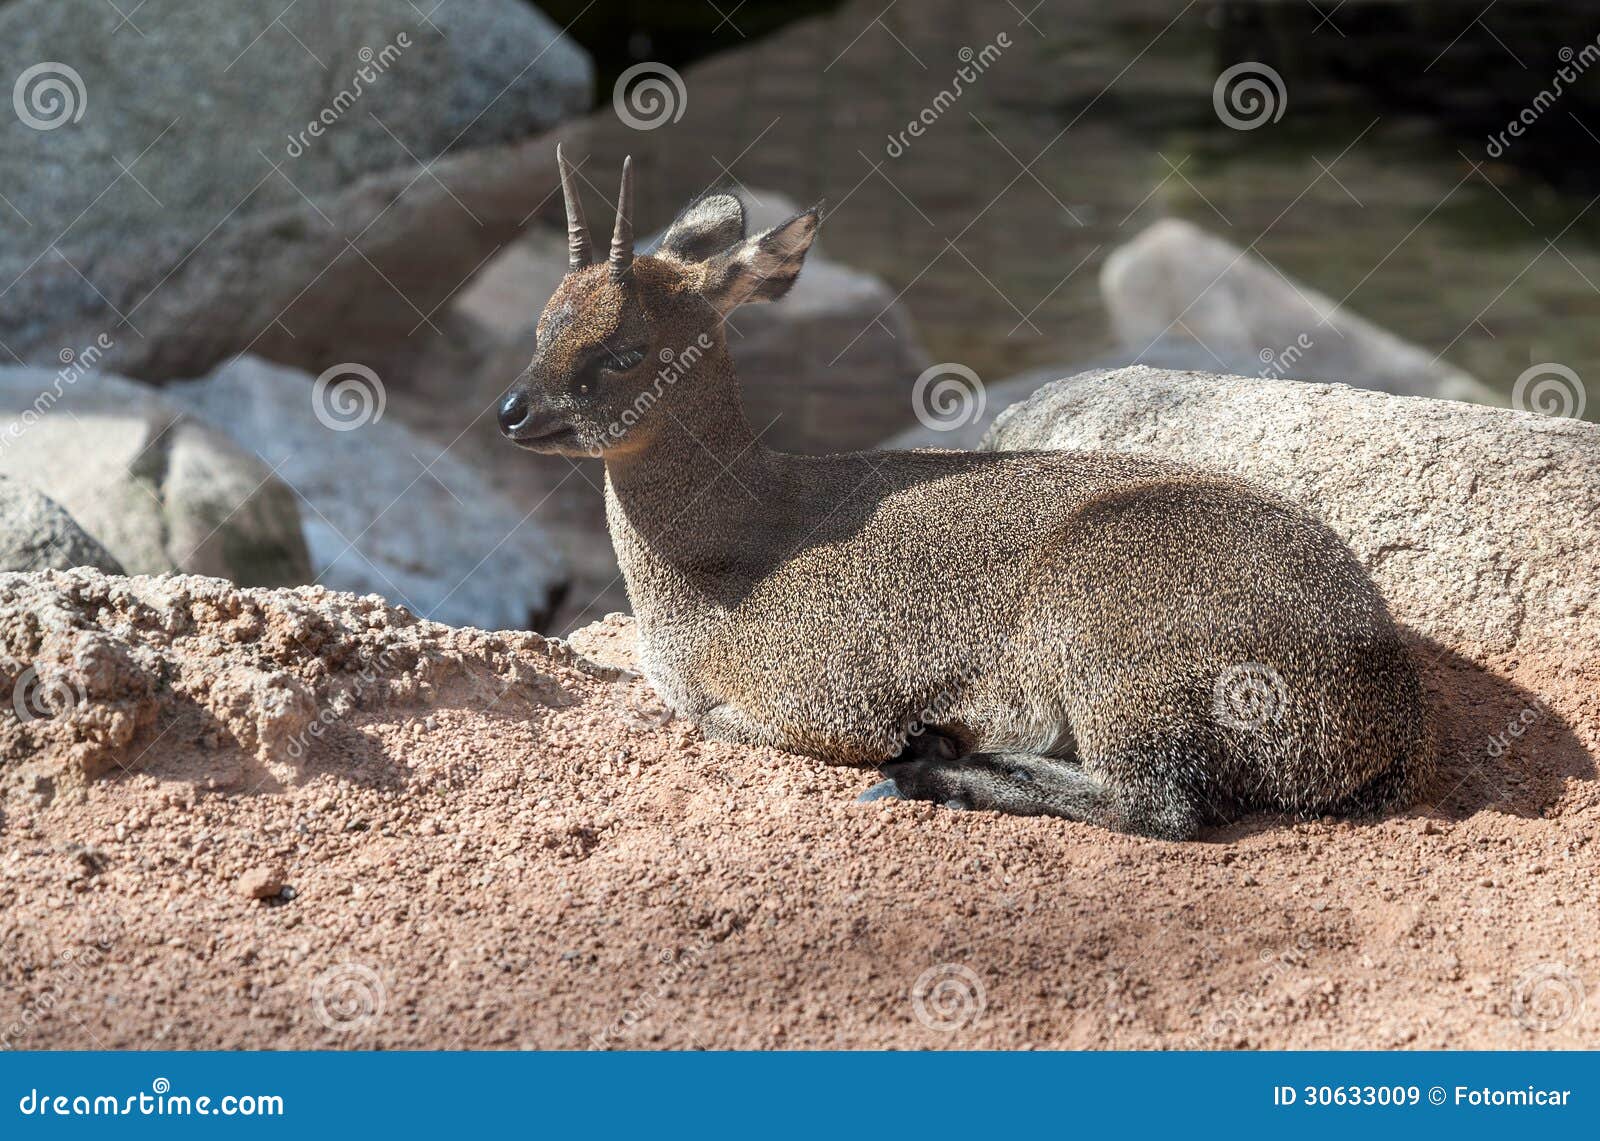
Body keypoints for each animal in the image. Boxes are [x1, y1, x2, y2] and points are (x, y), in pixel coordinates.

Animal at [497, 149, 1432, 839]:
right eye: (541, 324)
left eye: (625, 350)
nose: (514, 410)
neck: (722, 556)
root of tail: (1378, 706)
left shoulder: (805, 700)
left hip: (1114, 644)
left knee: (1156, 802)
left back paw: (938, 769)